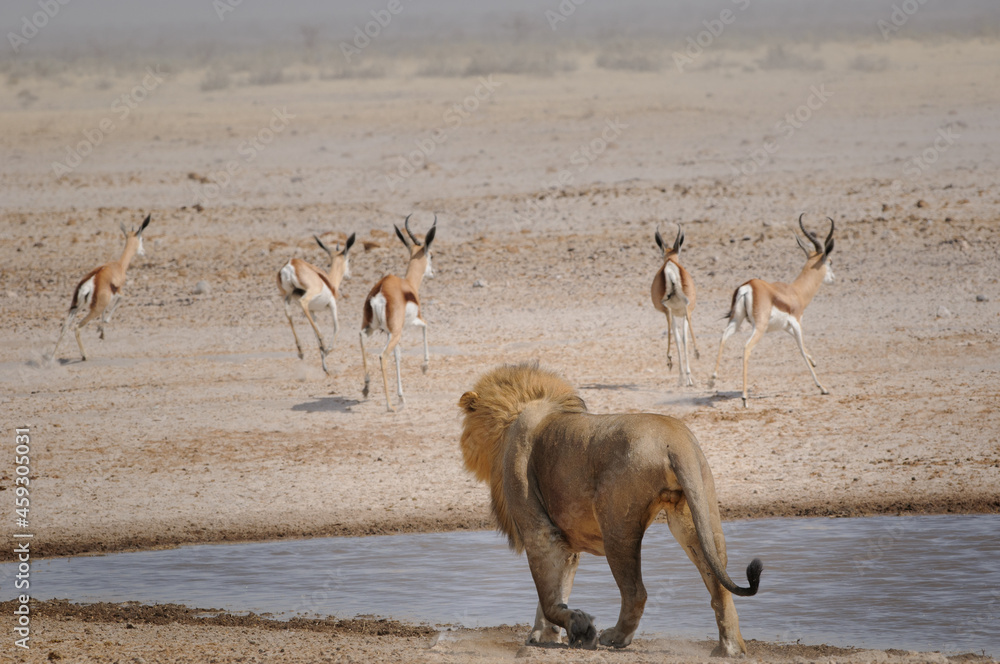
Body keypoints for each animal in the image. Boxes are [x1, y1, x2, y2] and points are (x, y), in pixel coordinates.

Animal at [458, 363, 762, 656]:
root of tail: (676, 441)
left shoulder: (539, 531)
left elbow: (548, 597)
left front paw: (579, 627)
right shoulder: (565, 541)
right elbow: (557, 590)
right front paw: (546, 635)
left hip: (617, 527)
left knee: (636, 592)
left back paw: (616, 637)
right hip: (696, 513)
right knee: (718, 585)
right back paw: (730, 648)